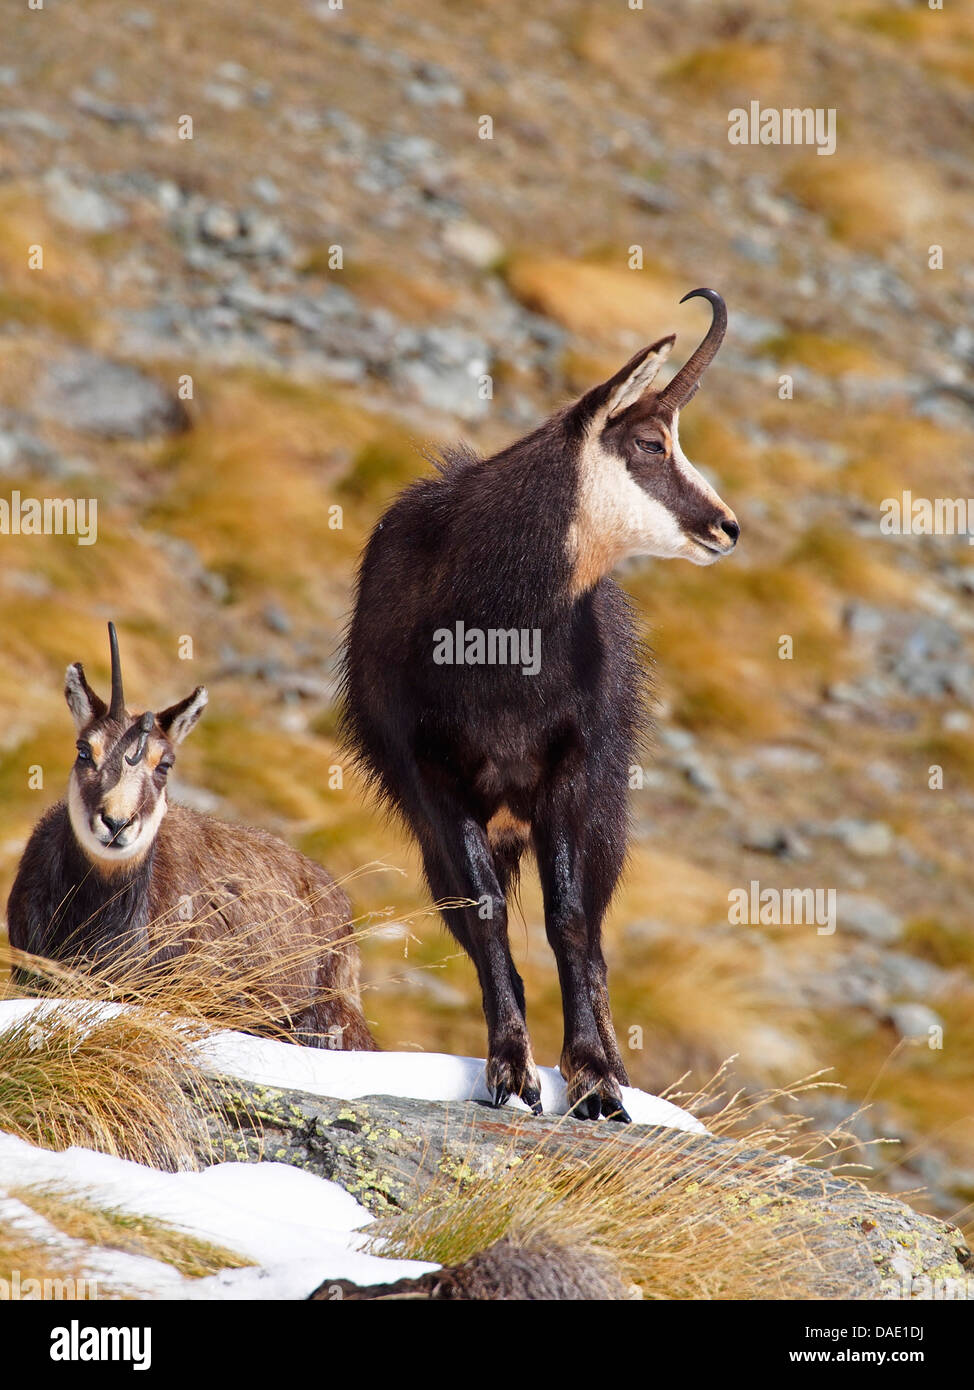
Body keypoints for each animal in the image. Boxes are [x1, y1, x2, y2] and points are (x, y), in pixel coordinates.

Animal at [342, 288, 737, 1117]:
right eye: (650, 442)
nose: (727, 526)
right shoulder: (433, 776)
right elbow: (488, 913)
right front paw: (510, 1068)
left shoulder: (572, 767)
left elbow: (570, 918)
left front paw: (593, 1078)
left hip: (607, 816)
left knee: (595, 932)